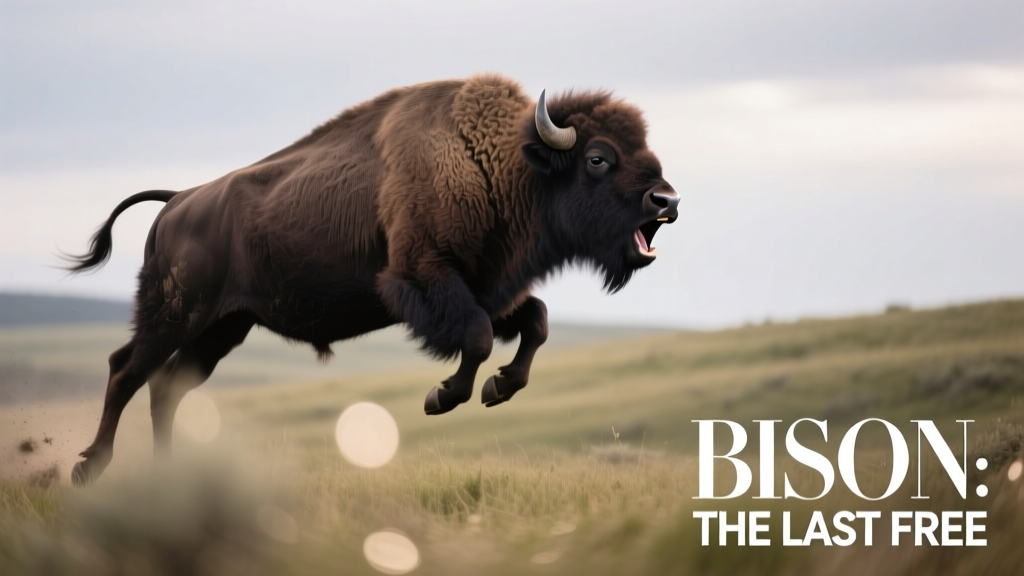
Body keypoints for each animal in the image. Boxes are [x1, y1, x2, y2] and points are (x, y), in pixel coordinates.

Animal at [65, 74, 679, 484]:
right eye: (598, 158)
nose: (667, 200)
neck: (502, 164)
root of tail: (179, 202)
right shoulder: (428, 280)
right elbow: (478, 337)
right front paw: (443, 396)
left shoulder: (494, 289)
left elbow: (537, 323)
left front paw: (498, 388)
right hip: (174, 314)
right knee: (127, 371)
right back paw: (89, 467)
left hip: (222, 329)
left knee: (166, 386)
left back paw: (165, 475)